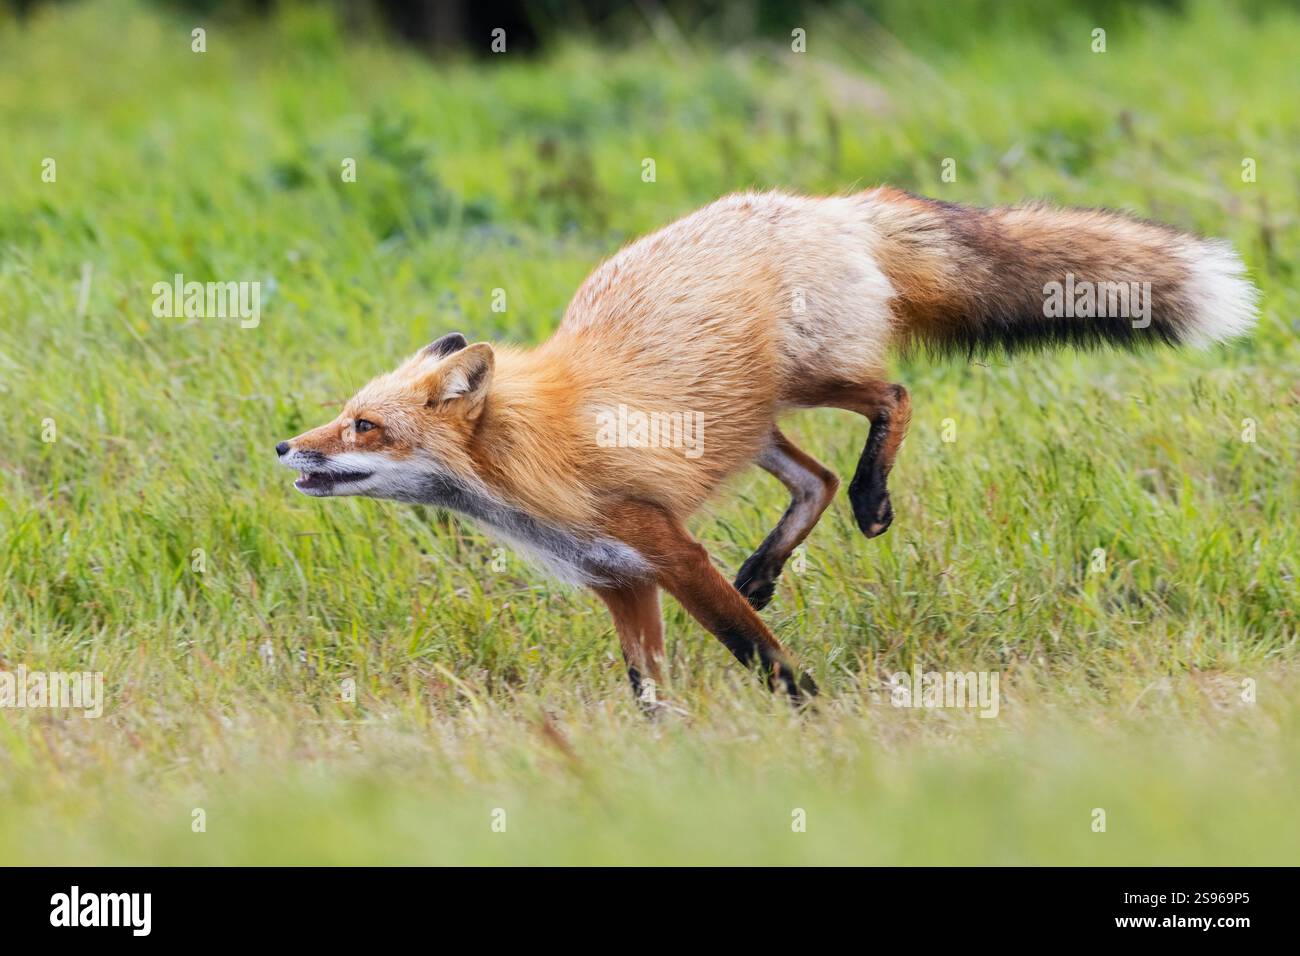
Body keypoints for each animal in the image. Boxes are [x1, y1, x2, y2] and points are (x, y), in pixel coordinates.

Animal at [277, 188, 1258, 706]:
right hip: (750, 426)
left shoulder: (667, 549)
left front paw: (812, 712)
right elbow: (647, 689)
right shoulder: (620, 581)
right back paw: (773, 559)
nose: (286, 446)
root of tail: (832, 205)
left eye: (365, 427)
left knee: (892, 402)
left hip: (812, 379)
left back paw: (871, 499)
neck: (525, 462)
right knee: (814, 477)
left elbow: (751, 648)